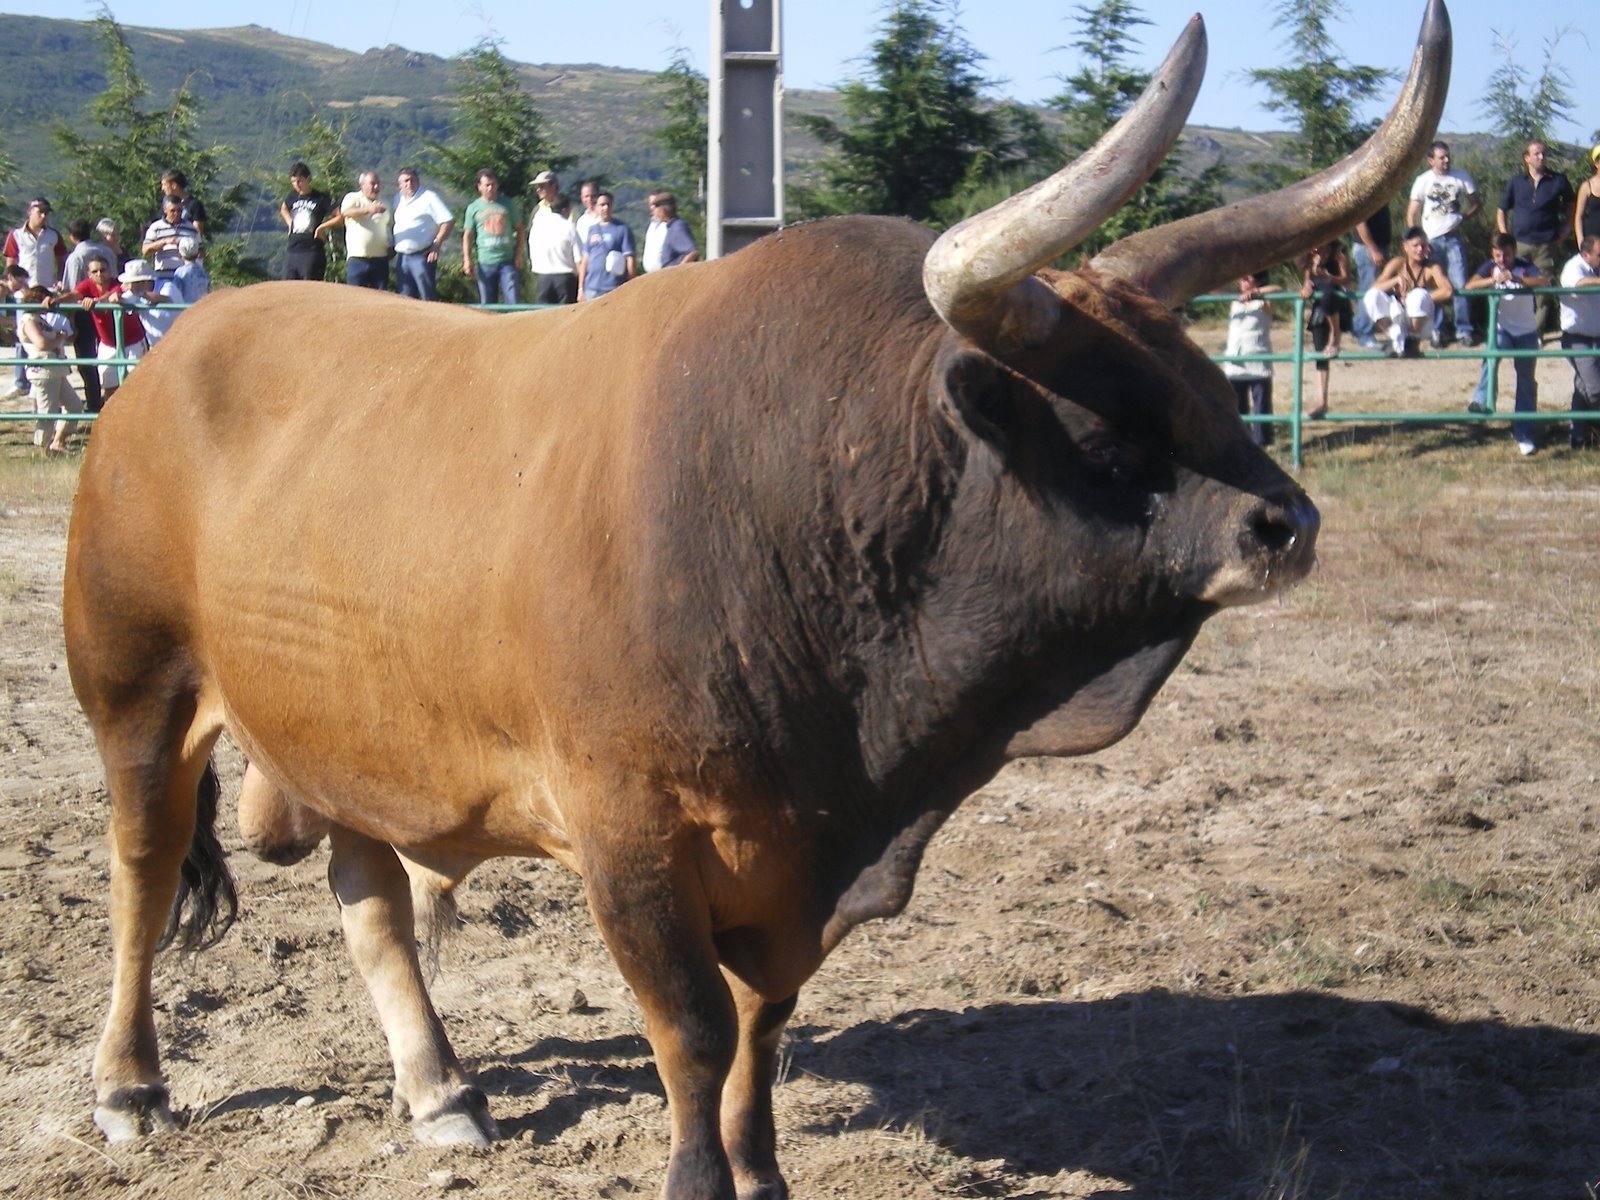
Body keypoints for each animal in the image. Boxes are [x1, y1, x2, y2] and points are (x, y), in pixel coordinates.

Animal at [63, 5, 1449, 1197]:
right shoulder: (627, 835)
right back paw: (129, 1088)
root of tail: (169, 354)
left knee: (372, 895)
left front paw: (763, 1169)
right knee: (140, 875)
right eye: (1106, 442)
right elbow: (689, 1029)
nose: (1288, 526)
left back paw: (442, 1090)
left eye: (1213, 391)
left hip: (342, 720)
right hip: (136, 689)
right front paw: (697, 1177)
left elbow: (760, 1029)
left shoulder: (798, 860)